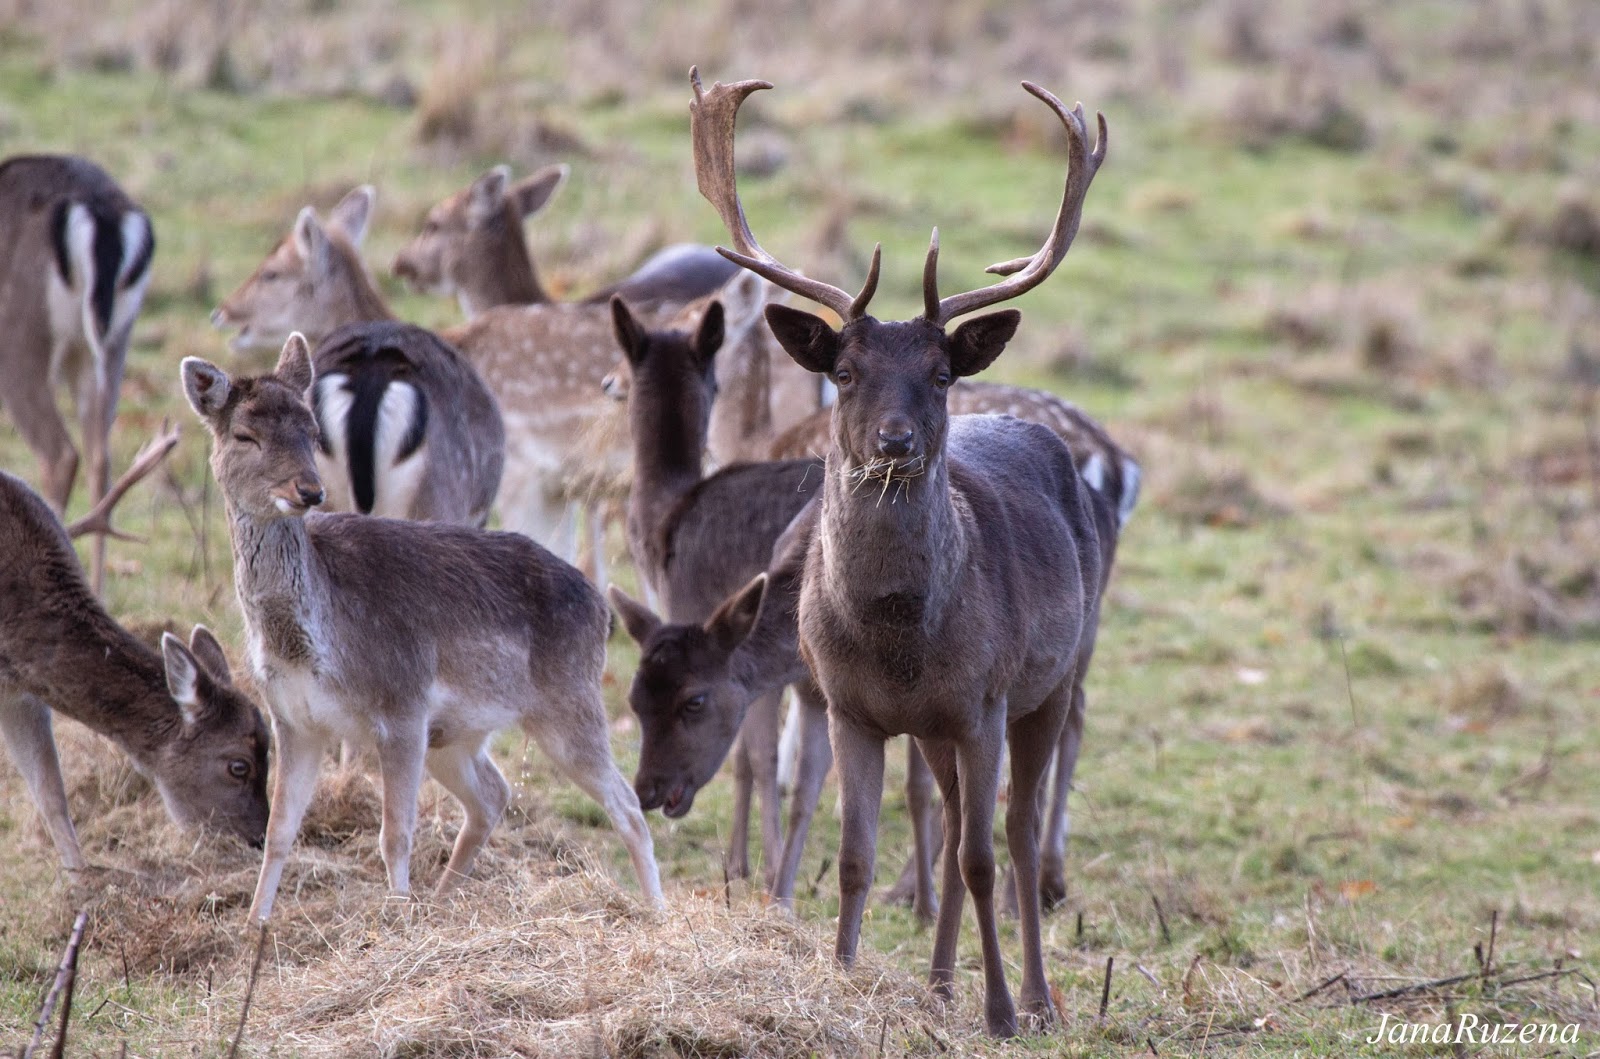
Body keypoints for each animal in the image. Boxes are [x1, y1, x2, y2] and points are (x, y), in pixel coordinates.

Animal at [180, 336, 662, 922]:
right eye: (245, 435)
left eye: (312, 432)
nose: (309, 490)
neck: (311, 644)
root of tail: (598, 606)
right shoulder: (294, 718)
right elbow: (280, 832)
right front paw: (255, 925)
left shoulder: (403, 705)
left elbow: (396, 834)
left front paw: (397, 918)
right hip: (456, 734)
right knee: (494, 793)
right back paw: (444, 899)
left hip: (568, 704)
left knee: (629, 806)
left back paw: (659, 914)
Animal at [690, 69, 1110, 1036]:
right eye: (843, 373)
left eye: (942, 374)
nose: (894, 442)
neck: (895, 639)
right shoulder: (852, 706)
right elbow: (854, 855)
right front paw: (844, 975)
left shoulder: (981, 700)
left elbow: (984, 855)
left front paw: (1001, 1010)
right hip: (939, 727)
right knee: (954, 824)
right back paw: (941, 981)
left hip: (1051, 678)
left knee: (1012, 834)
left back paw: (1034, 996)